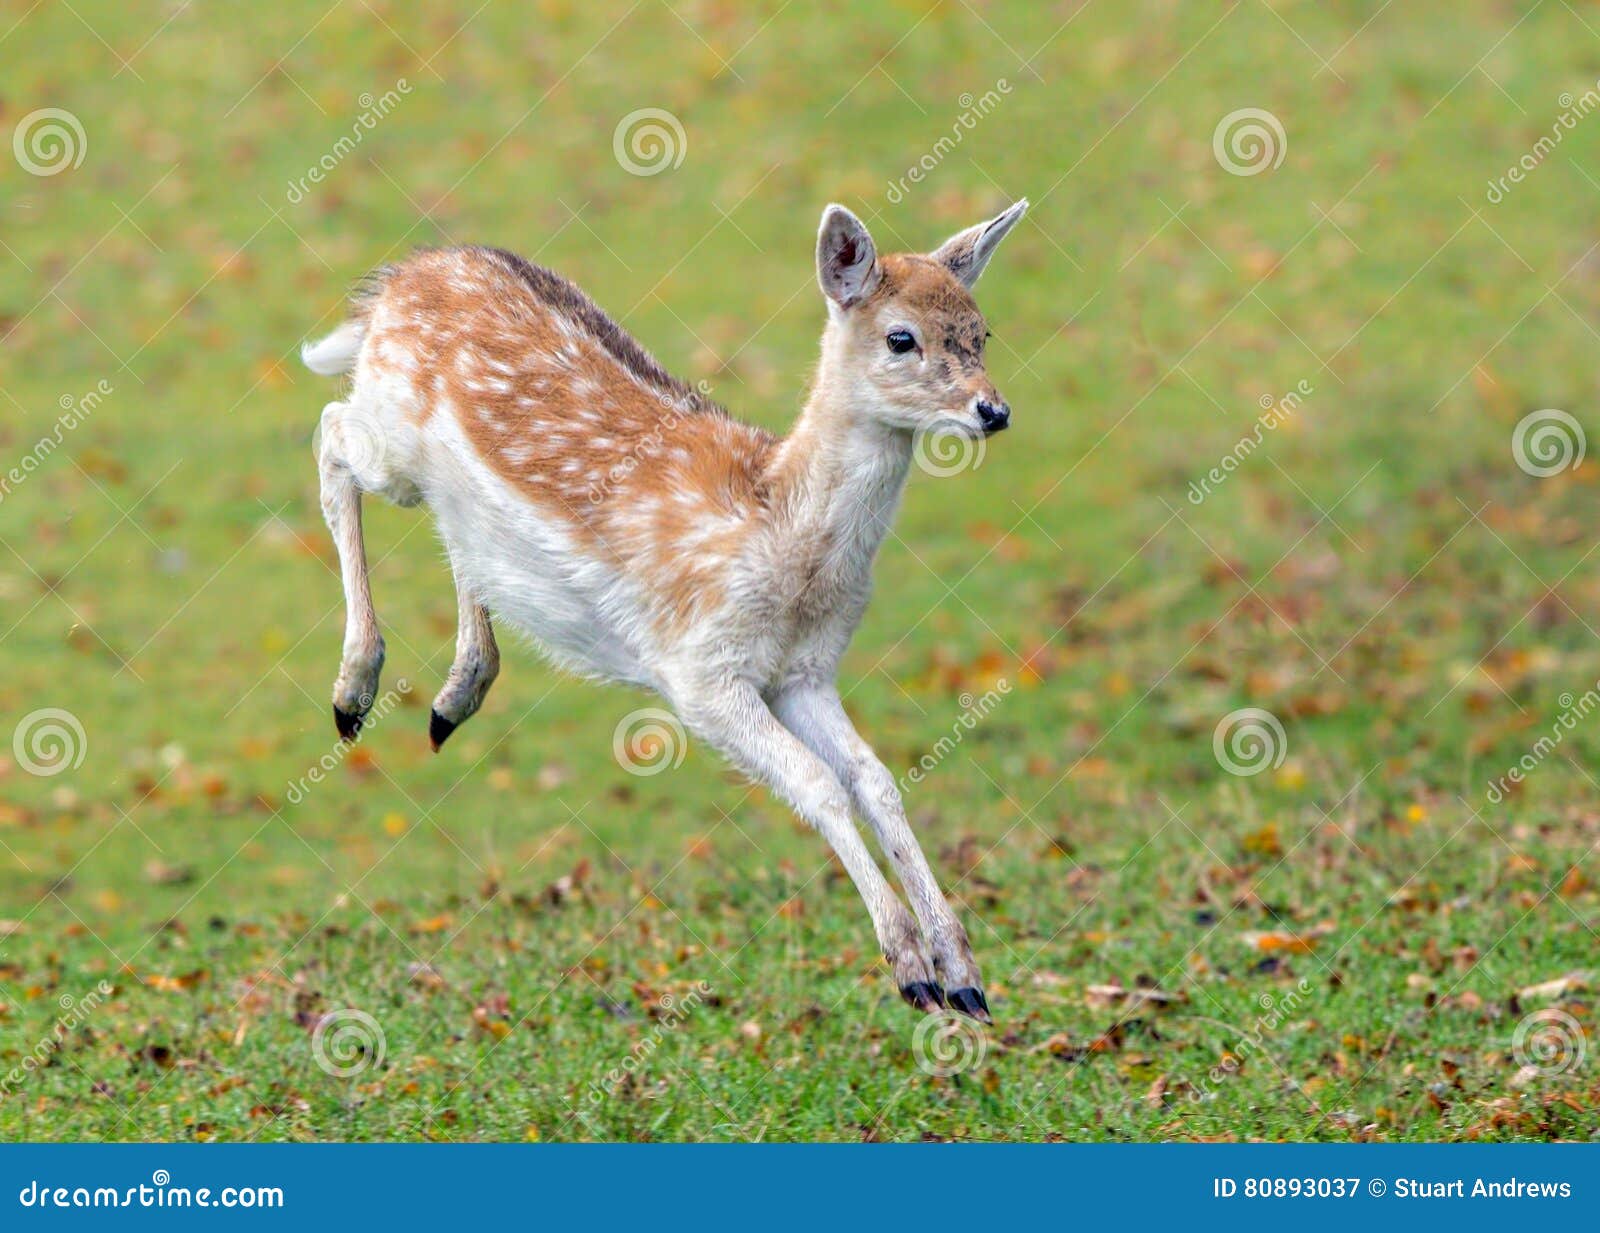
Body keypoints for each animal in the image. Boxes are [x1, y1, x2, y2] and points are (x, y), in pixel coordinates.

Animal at [301, 198, 1027, 1021]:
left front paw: (964, 974)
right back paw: (354, 691)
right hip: (388, 436)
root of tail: (395, 281)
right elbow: (817, 783)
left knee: (450, 526)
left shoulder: (805, 672)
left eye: (981, 330)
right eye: (901, 337)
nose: (993, 410)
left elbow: (875, 781)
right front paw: (910, 969)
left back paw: (454, 697)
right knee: (330, 431)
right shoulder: (701, 670)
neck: (778, 535)